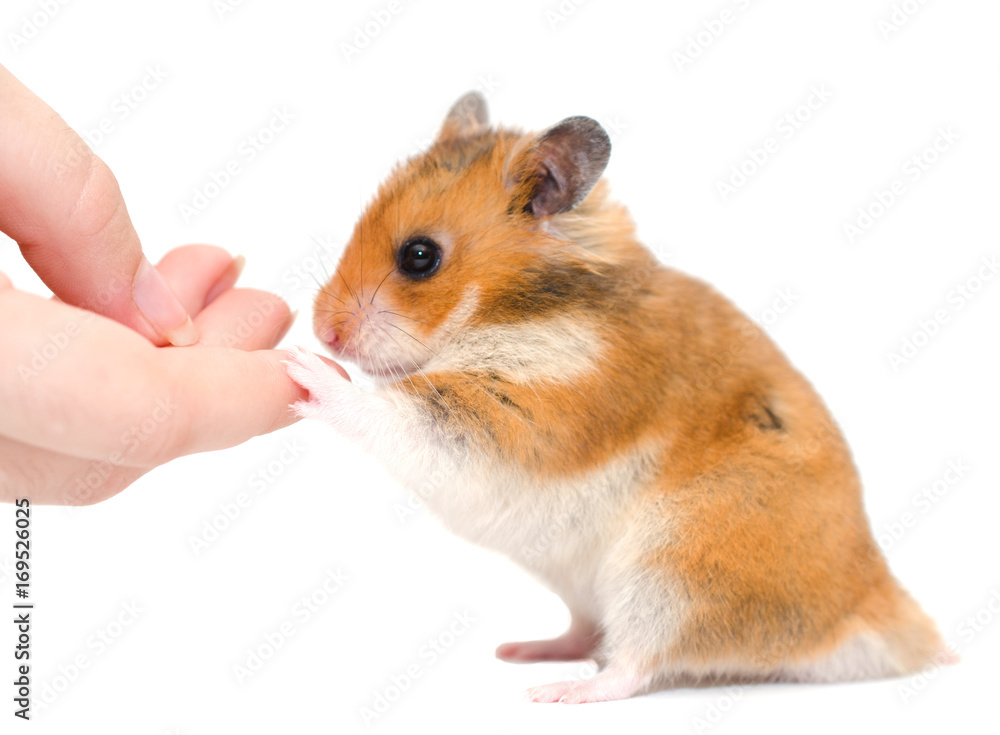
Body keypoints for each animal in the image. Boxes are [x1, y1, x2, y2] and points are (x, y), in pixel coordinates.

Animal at [285, 92, 953, 703]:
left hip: (677, 569)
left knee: (639, 663)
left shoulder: (523, 414)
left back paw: (562, 693)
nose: (322, 332)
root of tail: (876, 607)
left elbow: (399, 408)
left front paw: (305, 369)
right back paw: (524, 651)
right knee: (589, 631)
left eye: (419, 256)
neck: (520, 309)